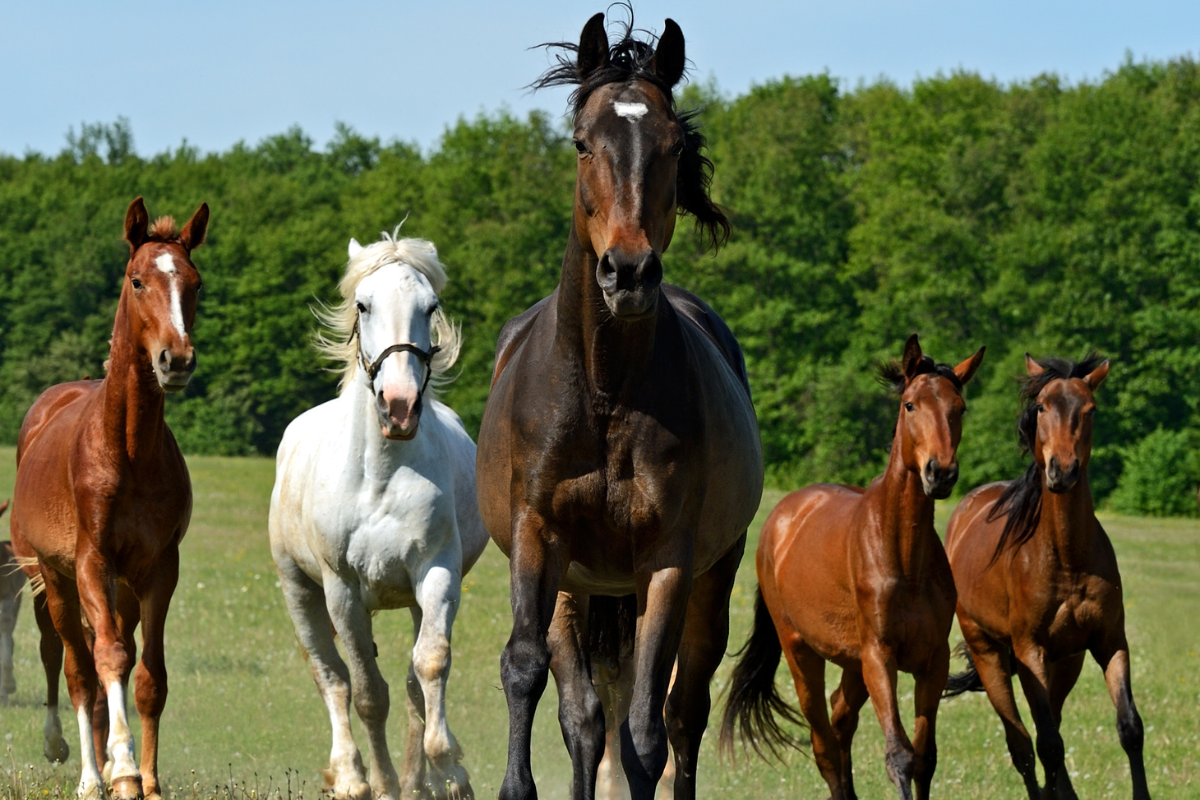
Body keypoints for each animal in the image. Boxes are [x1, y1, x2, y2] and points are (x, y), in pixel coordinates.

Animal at [8, 196, 207, 800]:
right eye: (138, 280)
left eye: (195, 283)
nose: (175, 360)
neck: (130, 452)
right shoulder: (91, 562)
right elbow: (107, 660)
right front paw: (120, 769)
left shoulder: (159, 568)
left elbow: (149, 677)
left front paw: (150, 780)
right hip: (52, 578)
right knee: (71, 663)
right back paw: (85, 770)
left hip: (121, 591)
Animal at [269, 230, 487, 800]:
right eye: (363, 305)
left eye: (430, 306)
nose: (400, 405)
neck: (381, 475)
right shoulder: (341, 589)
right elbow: (368, 693)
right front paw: (383, 783)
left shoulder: (436, 573)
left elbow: (428, 666)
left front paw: (445, 771)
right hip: (301, 593)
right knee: (332, 676)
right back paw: (351, 774)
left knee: (409, 682)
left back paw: (416, 778)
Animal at [476, 11, 762, 800]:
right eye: (582, 142)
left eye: (672, 146)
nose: (628, 272)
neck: (602, 394)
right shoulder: (539, 539)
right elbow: (526, 672)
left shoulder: (667, 563)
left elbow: (647, 732)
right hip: (575, 587)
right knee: (582, 718)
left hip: (709, 582)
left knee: (682, 714)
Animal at [722, 334, 985, 800]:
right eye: (910, 404)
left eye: (960, 407)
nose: (940, 473)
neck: (904, 558)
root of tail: (781, 519)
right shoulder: (879, 657)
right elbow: (899, 754)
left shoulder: (931, 661)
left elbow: (925, 758)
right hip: (801, 653)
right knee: (824, 743)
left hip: (851, 665)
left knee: (840, 721)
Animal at [942, 354, 1150, 800]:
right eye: (1041, 407)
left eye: (1090, 409)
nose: (1062, 471)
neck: (1067, 558)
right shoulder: (1030, 651)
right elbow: (1047, 744)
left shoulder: (1108, 641)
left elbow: (1130, 728)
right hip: (991, 654)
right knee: (1022, 743)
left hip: (1066, 661)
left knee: (1048, 725)